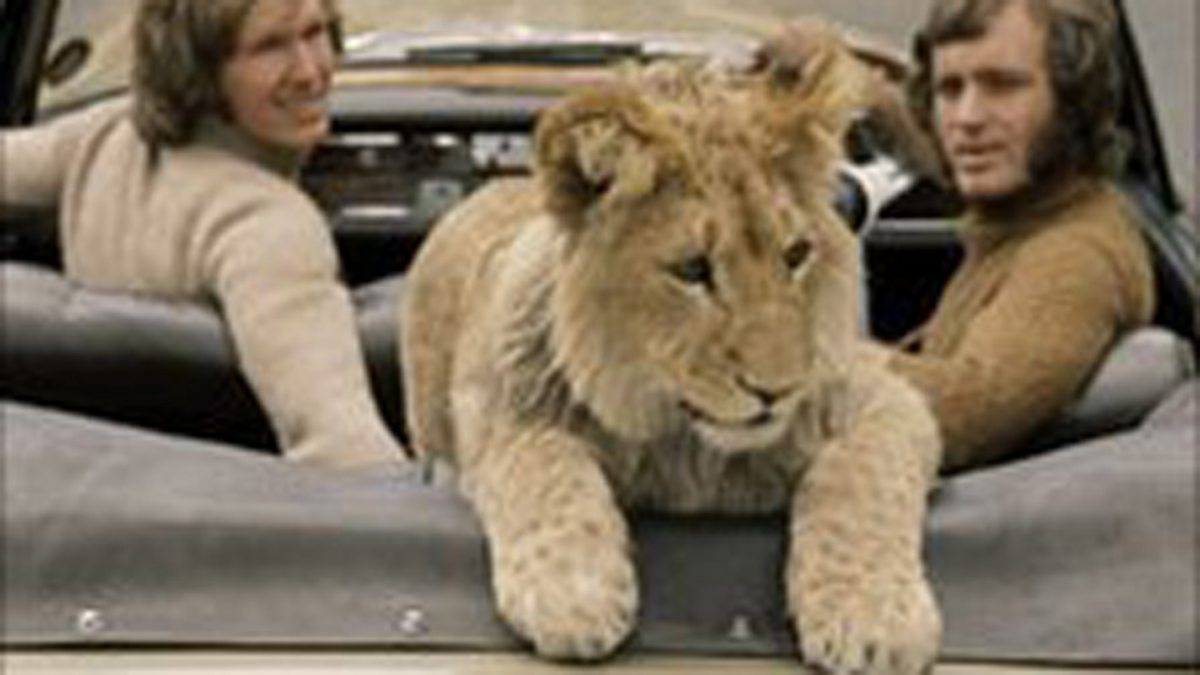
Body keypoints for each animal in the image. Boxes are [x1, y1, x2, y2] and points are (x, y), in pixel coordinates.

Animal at [399, 25, 943, 675]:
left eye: (796, 255)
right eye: (692, 270)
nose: (778, 390)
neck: (689, 446)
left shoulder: (886, 396)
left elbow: (864, 474)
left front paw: (872, 615)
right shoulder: (496, 412)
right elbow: (540, 460)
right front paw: (573, 593)